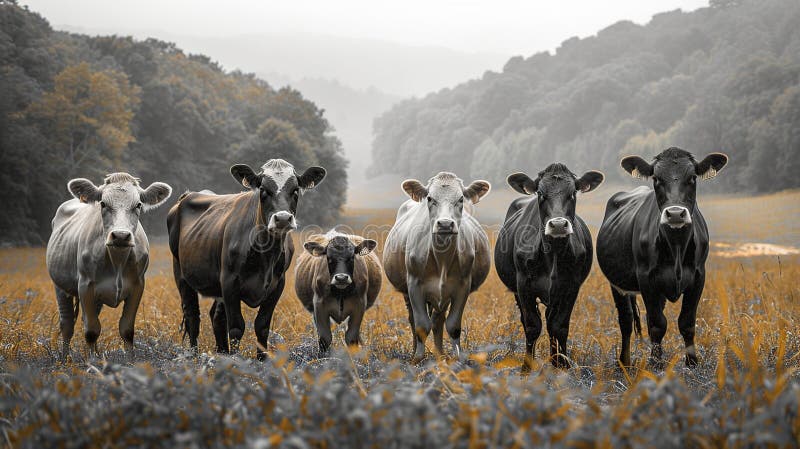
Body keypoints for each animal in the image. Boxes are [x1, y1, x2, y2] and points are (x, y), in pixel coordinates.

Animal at [46, 173, 172, 356]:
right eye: (103, 203)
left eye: (138, 205)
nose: (120, 236)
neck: (117, 260)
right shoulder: (85, 286)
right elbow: (91, 331)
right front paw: (91, 361)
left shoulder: (137, 285)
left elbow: (126, 329)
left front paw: (129, 359)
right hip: (60, 286)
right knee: (67, 324)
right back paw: (65, 357)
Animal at [167, 159, 325, 360]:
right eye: (263, 190)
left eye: (295, 190)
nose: (282, 219)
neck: (266, 255)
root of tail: (188, 195)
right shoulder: (229, 282)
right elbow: (236, 327)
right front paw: (236, 360)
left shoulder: (277, 285)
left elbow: (262, 326)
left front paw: (261, 359)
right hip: (181, 272)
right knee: (192, 316)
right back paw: (194, 356)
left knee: (216, 317)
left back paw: (222, 352)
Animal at [383, 172, 491, 363]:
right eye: (430, 198)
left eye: (461, 199)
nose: (445, 224)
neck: (442, 259)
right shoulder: (414, 285)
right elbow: (421, 325)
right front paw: (417, 359)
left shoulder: (462, 286)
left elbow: (453, 325)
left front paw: (458, 359)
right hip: (407, 292)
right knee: (413, 320)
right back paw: (415, 350)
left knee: (438, 320)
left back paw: (439, 354)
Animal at [494, 163, 604, 370]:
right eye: (540, 193)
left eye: (573, 193)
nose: (559, 225)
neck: (553, 252)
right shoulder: (523, 285)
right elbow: (532, 325)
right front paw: (526, 368)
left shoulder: (571, 287)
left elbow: (560, 326)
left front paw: (562, 365)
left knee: (551, 320)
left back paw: (554, 359)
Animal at [596, 147, 728, 367]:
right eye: (656, 178)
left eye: (692, 177)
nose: (675, 214)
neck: (676, 245)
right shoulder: (646, 278)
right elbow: (657, 325)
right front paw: (656, 364)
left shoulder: (698, 277)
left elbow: (687, 322)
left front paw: (692, 363)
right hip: (617, 284)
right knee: (626, 321)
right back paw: (625, 362)